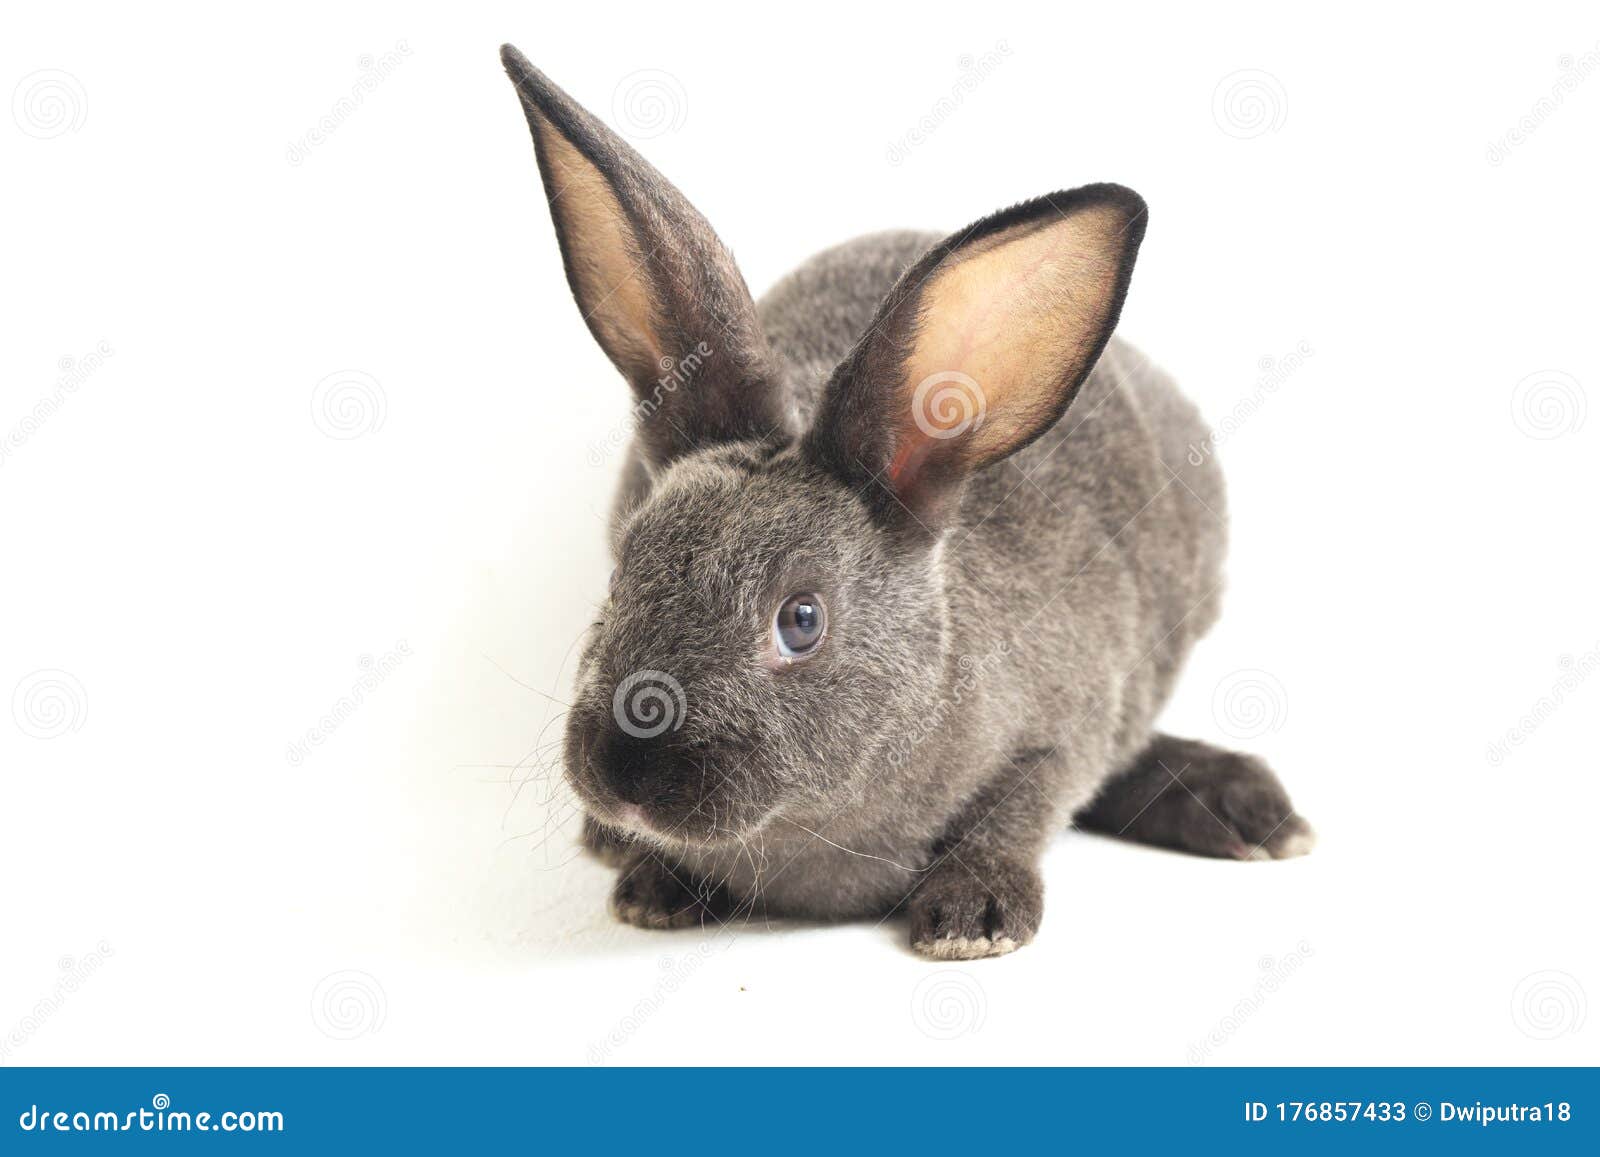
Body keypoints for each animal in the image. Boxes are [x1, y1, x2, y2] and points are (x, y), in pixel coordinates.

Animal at [500, 44, 1314, 959]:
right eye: (620, 577)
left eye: (802, 619)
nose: (626, 774)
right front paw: (654, 885)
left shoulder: (1059, 737)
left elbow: (1022, 810)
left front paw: (973, 916)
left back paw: (1249, 810)